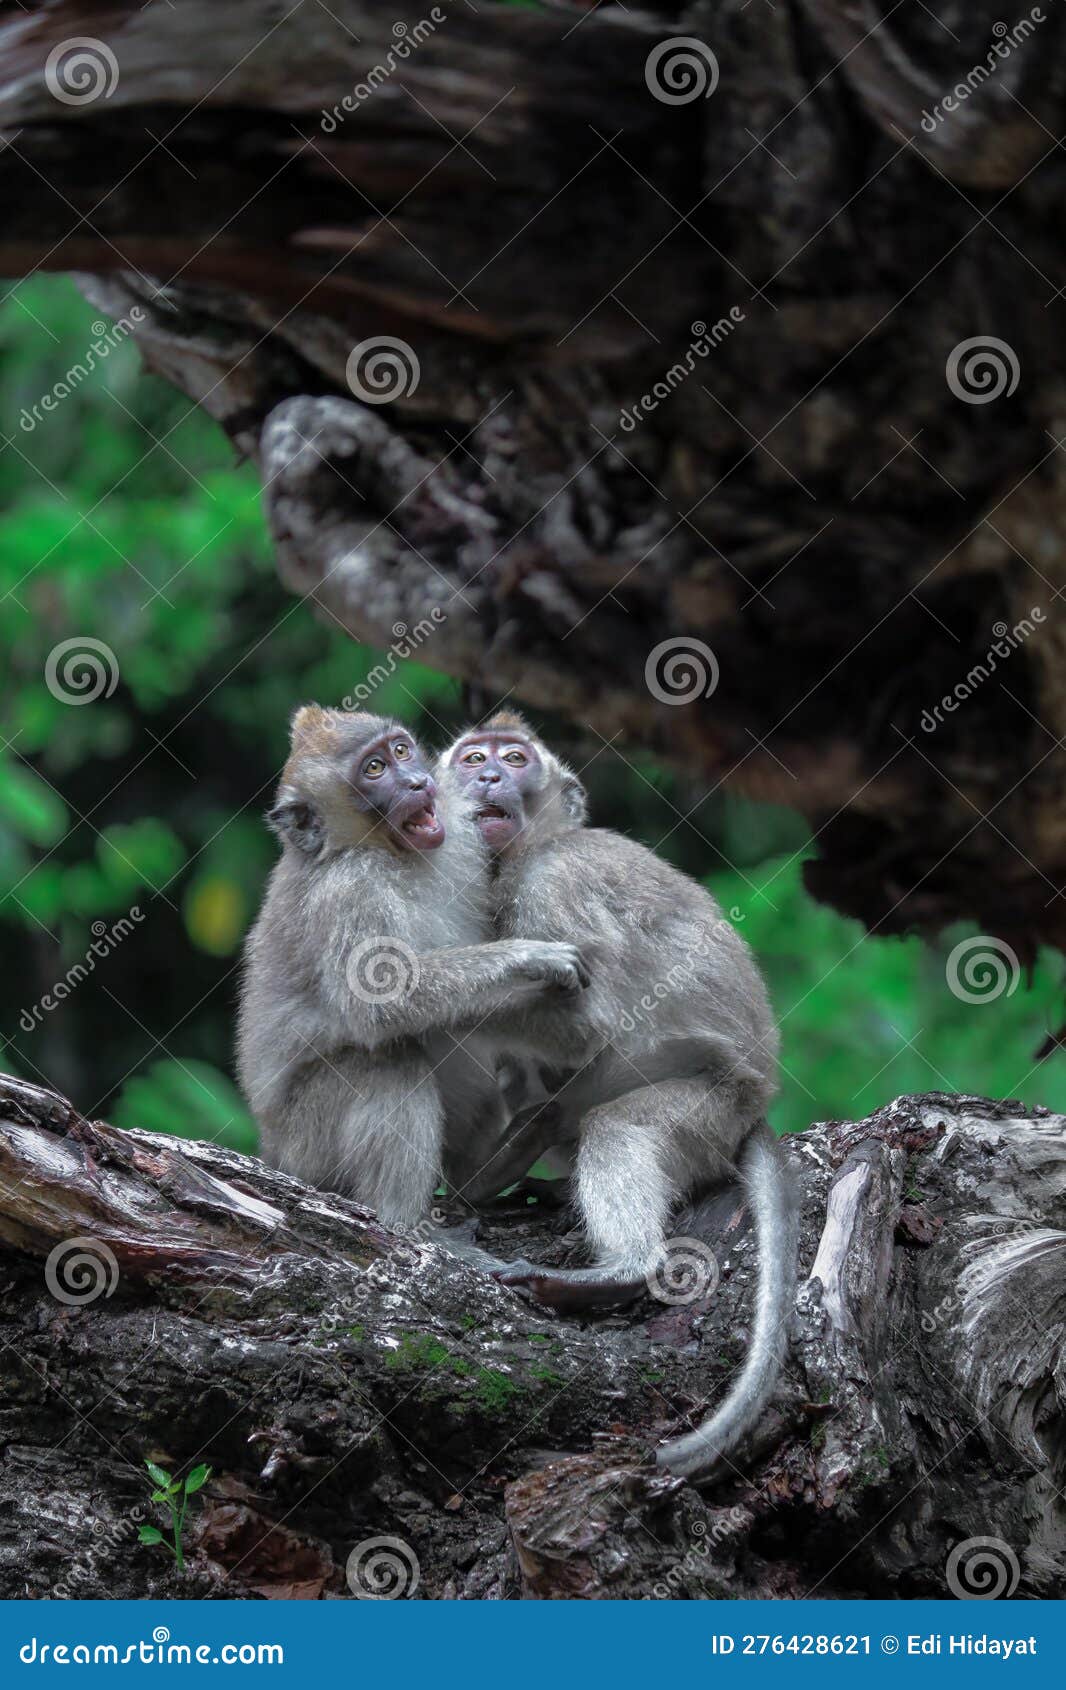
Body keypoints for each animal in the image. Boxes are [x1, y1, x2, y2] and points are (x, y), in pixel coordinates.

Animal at [236, 706, 590, 1231]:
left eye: (401, 750)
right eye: (375, 769)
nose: (417, 782)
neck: (388, 852)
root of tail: (273, 1152)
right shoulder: (349, 891)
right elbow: (385, 1004)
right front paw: (529, 957)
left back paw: (485, 1173)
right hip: (307, 1149)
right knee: (386, 1064)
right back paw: (401, 1223)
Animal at [437, 710, 798, 1479]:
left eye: (516, 759)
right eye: (474, 758)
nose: (490, 774)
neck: (533, 847)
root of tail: (755, 1104)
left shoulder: (555, 884)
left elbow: (588, 1026)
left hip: (706, 1108)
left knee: (615, 1125)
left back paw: (619, 1269)